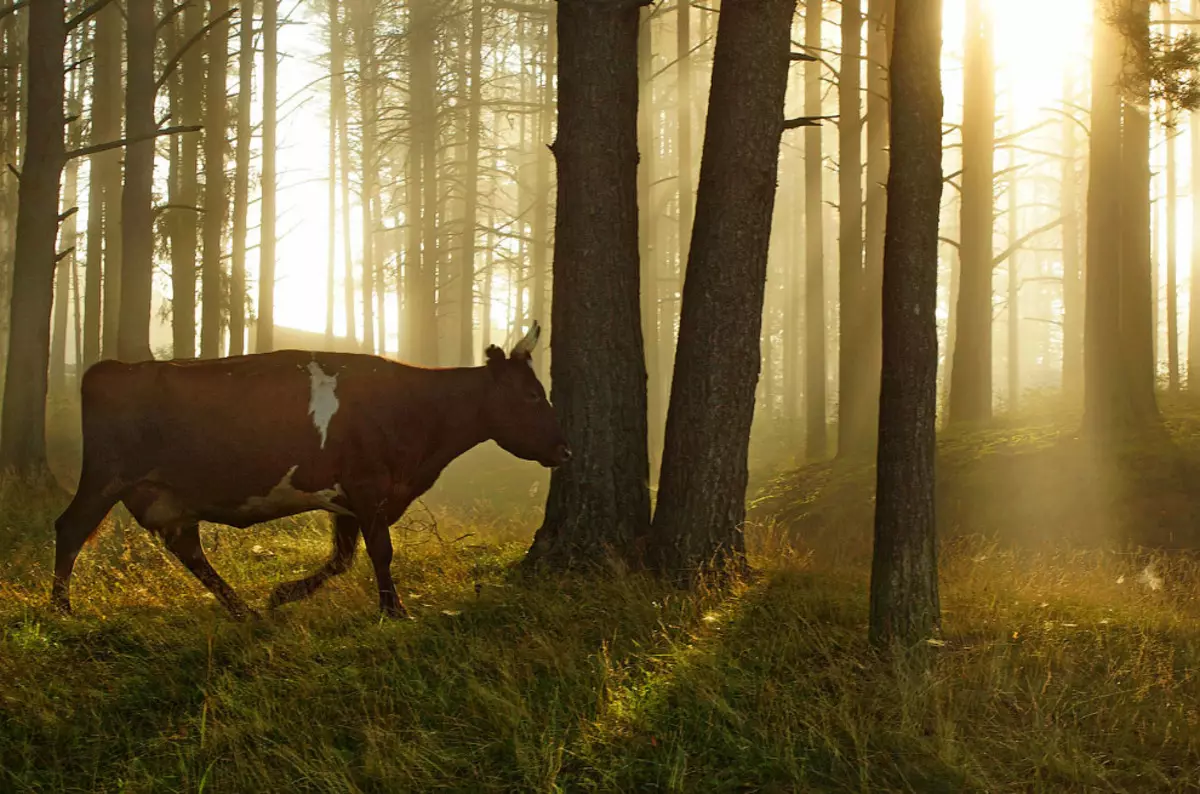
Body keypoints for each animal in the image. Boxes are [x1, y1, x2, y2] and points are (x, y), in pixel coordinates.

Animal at [50, 323, 566, 623]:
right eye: (532, 396)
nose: (566, 447)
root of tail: (111, 368)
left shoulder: (350, 500)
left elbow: (342, 558)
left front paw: (283, 594)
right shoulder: (368, 487)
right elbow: (381, 552)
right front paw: (394, 610)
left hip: (169, 496)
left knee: (189, 551)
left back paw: (244, 611)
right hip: (106, 477)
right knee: (70, 528)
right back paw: (61, 610)